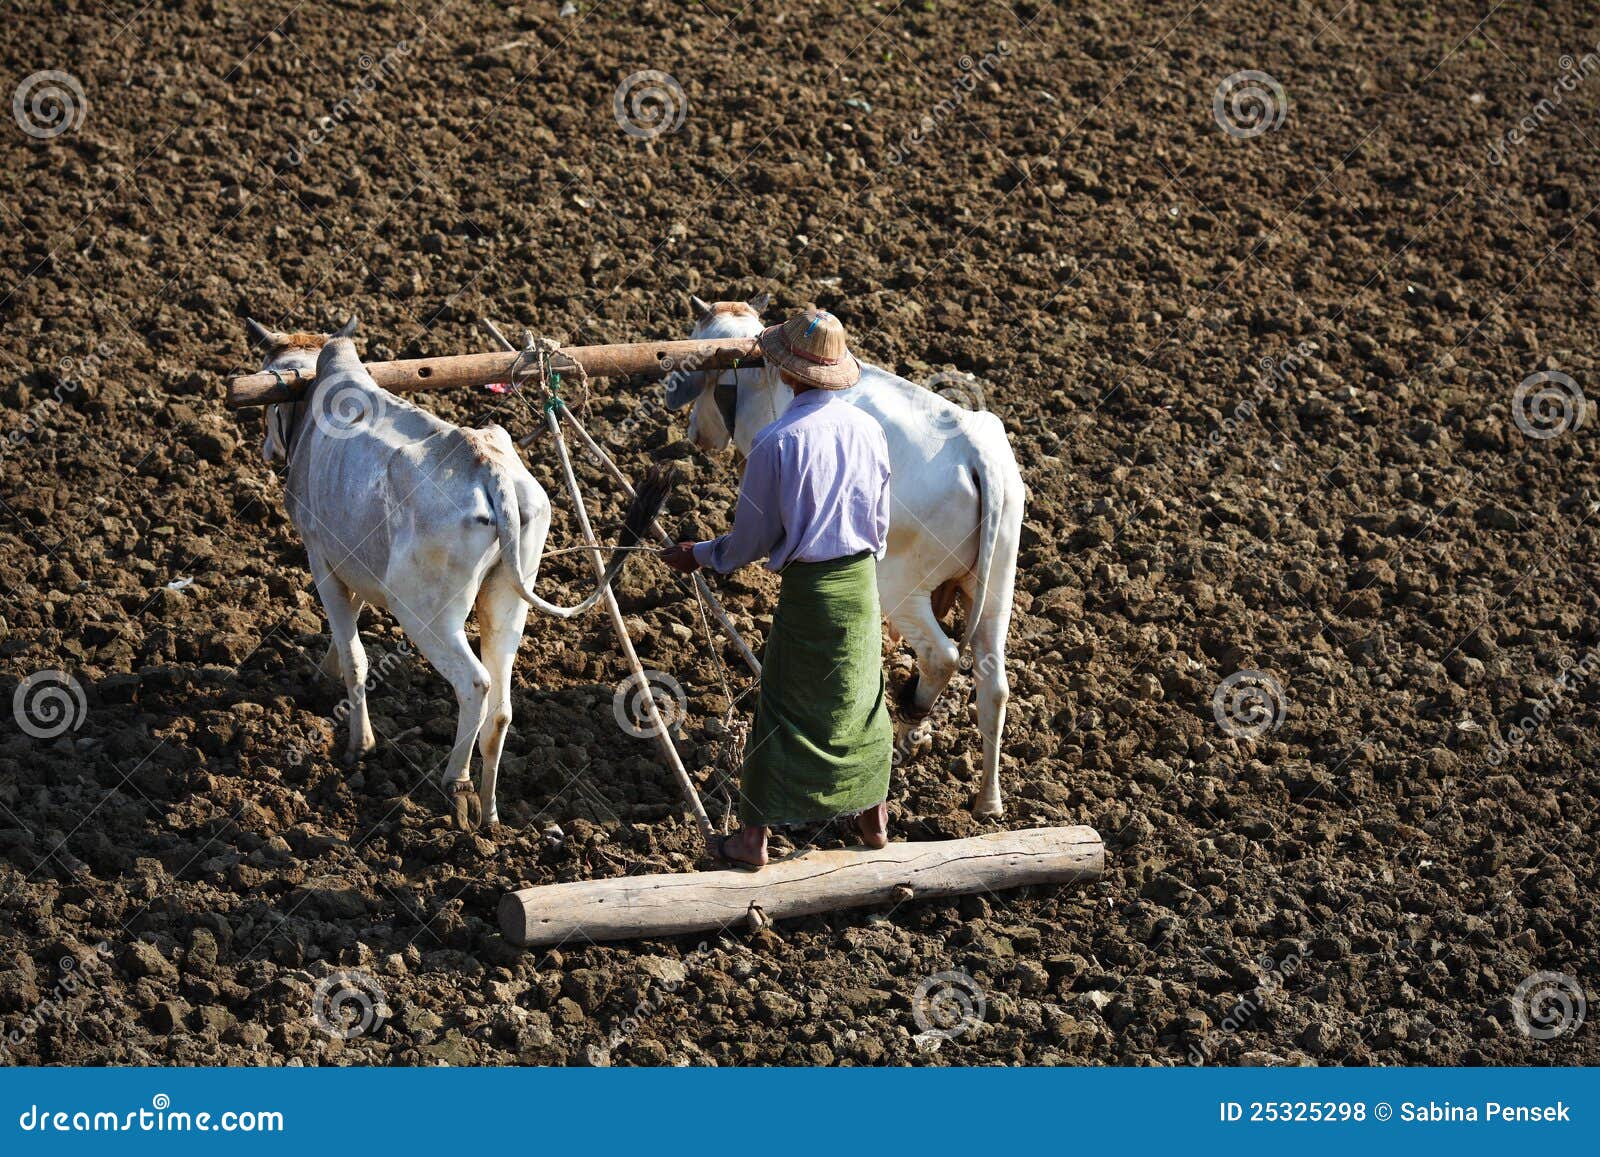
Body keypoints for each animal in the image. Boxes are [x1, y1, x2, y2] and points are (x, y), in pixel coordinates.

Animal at [247, 318, 674, 829]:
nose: (268, 448)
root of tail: (490, 469)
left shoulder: (320, 555)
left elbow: (355, 657)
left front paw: (358, 743)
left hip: (426, 615)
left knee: (475, 684)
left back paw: (458, 782)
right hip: (507, 601)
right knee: (502, 708)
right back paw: (488, 813)